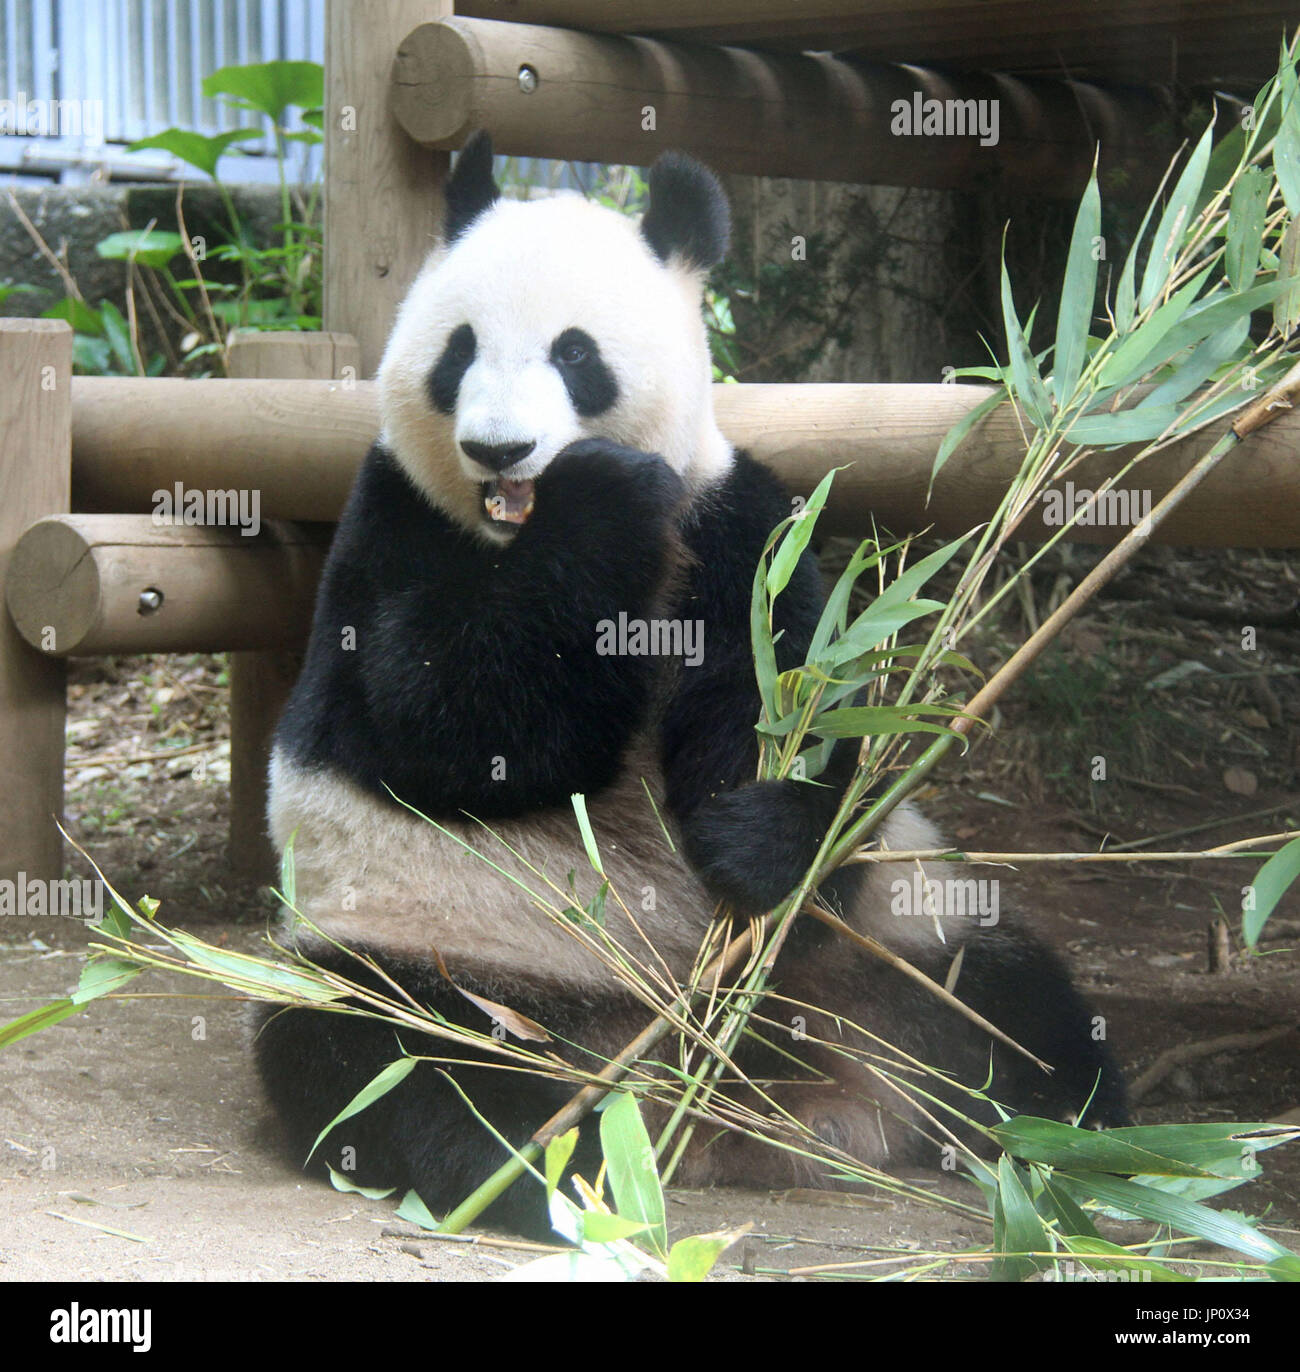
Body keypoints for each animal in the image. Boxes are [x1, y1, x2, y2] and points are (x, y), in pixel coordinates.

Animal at [255, 132, 1128, 1236]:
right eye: (457, 353)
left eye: (574, 354)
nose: (499, 449)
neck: (511, 536)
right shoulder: (392, 521)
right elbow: (441, 726)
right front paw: (596, 504)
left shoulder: (732, 520)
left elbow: (792, 701)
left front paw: (754, 835)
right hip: (436, 952)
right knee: (388, 1057)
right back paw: (553, 1167)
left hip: (892, 934)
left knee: (1012, 1000)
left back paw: (1081, 1130)